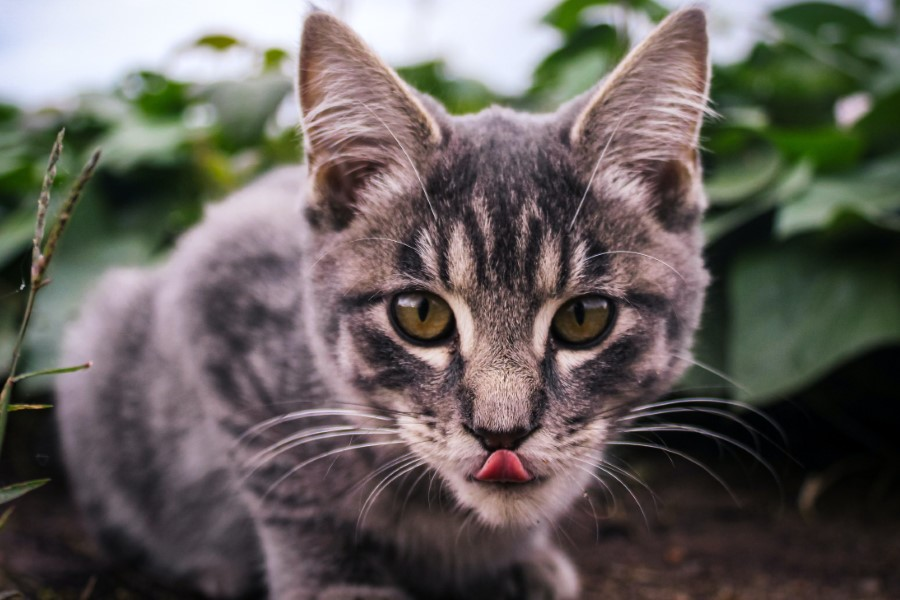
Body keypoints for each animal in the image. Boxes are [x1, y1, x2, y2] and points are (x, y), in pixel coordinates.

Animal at [58, 7, 712, 596]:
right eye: (421, 315)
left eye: (583, 318)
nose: (501, 434)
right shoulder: (220, 290)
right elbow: (290, 486)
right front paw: (337, 582)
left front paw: (521, 561)